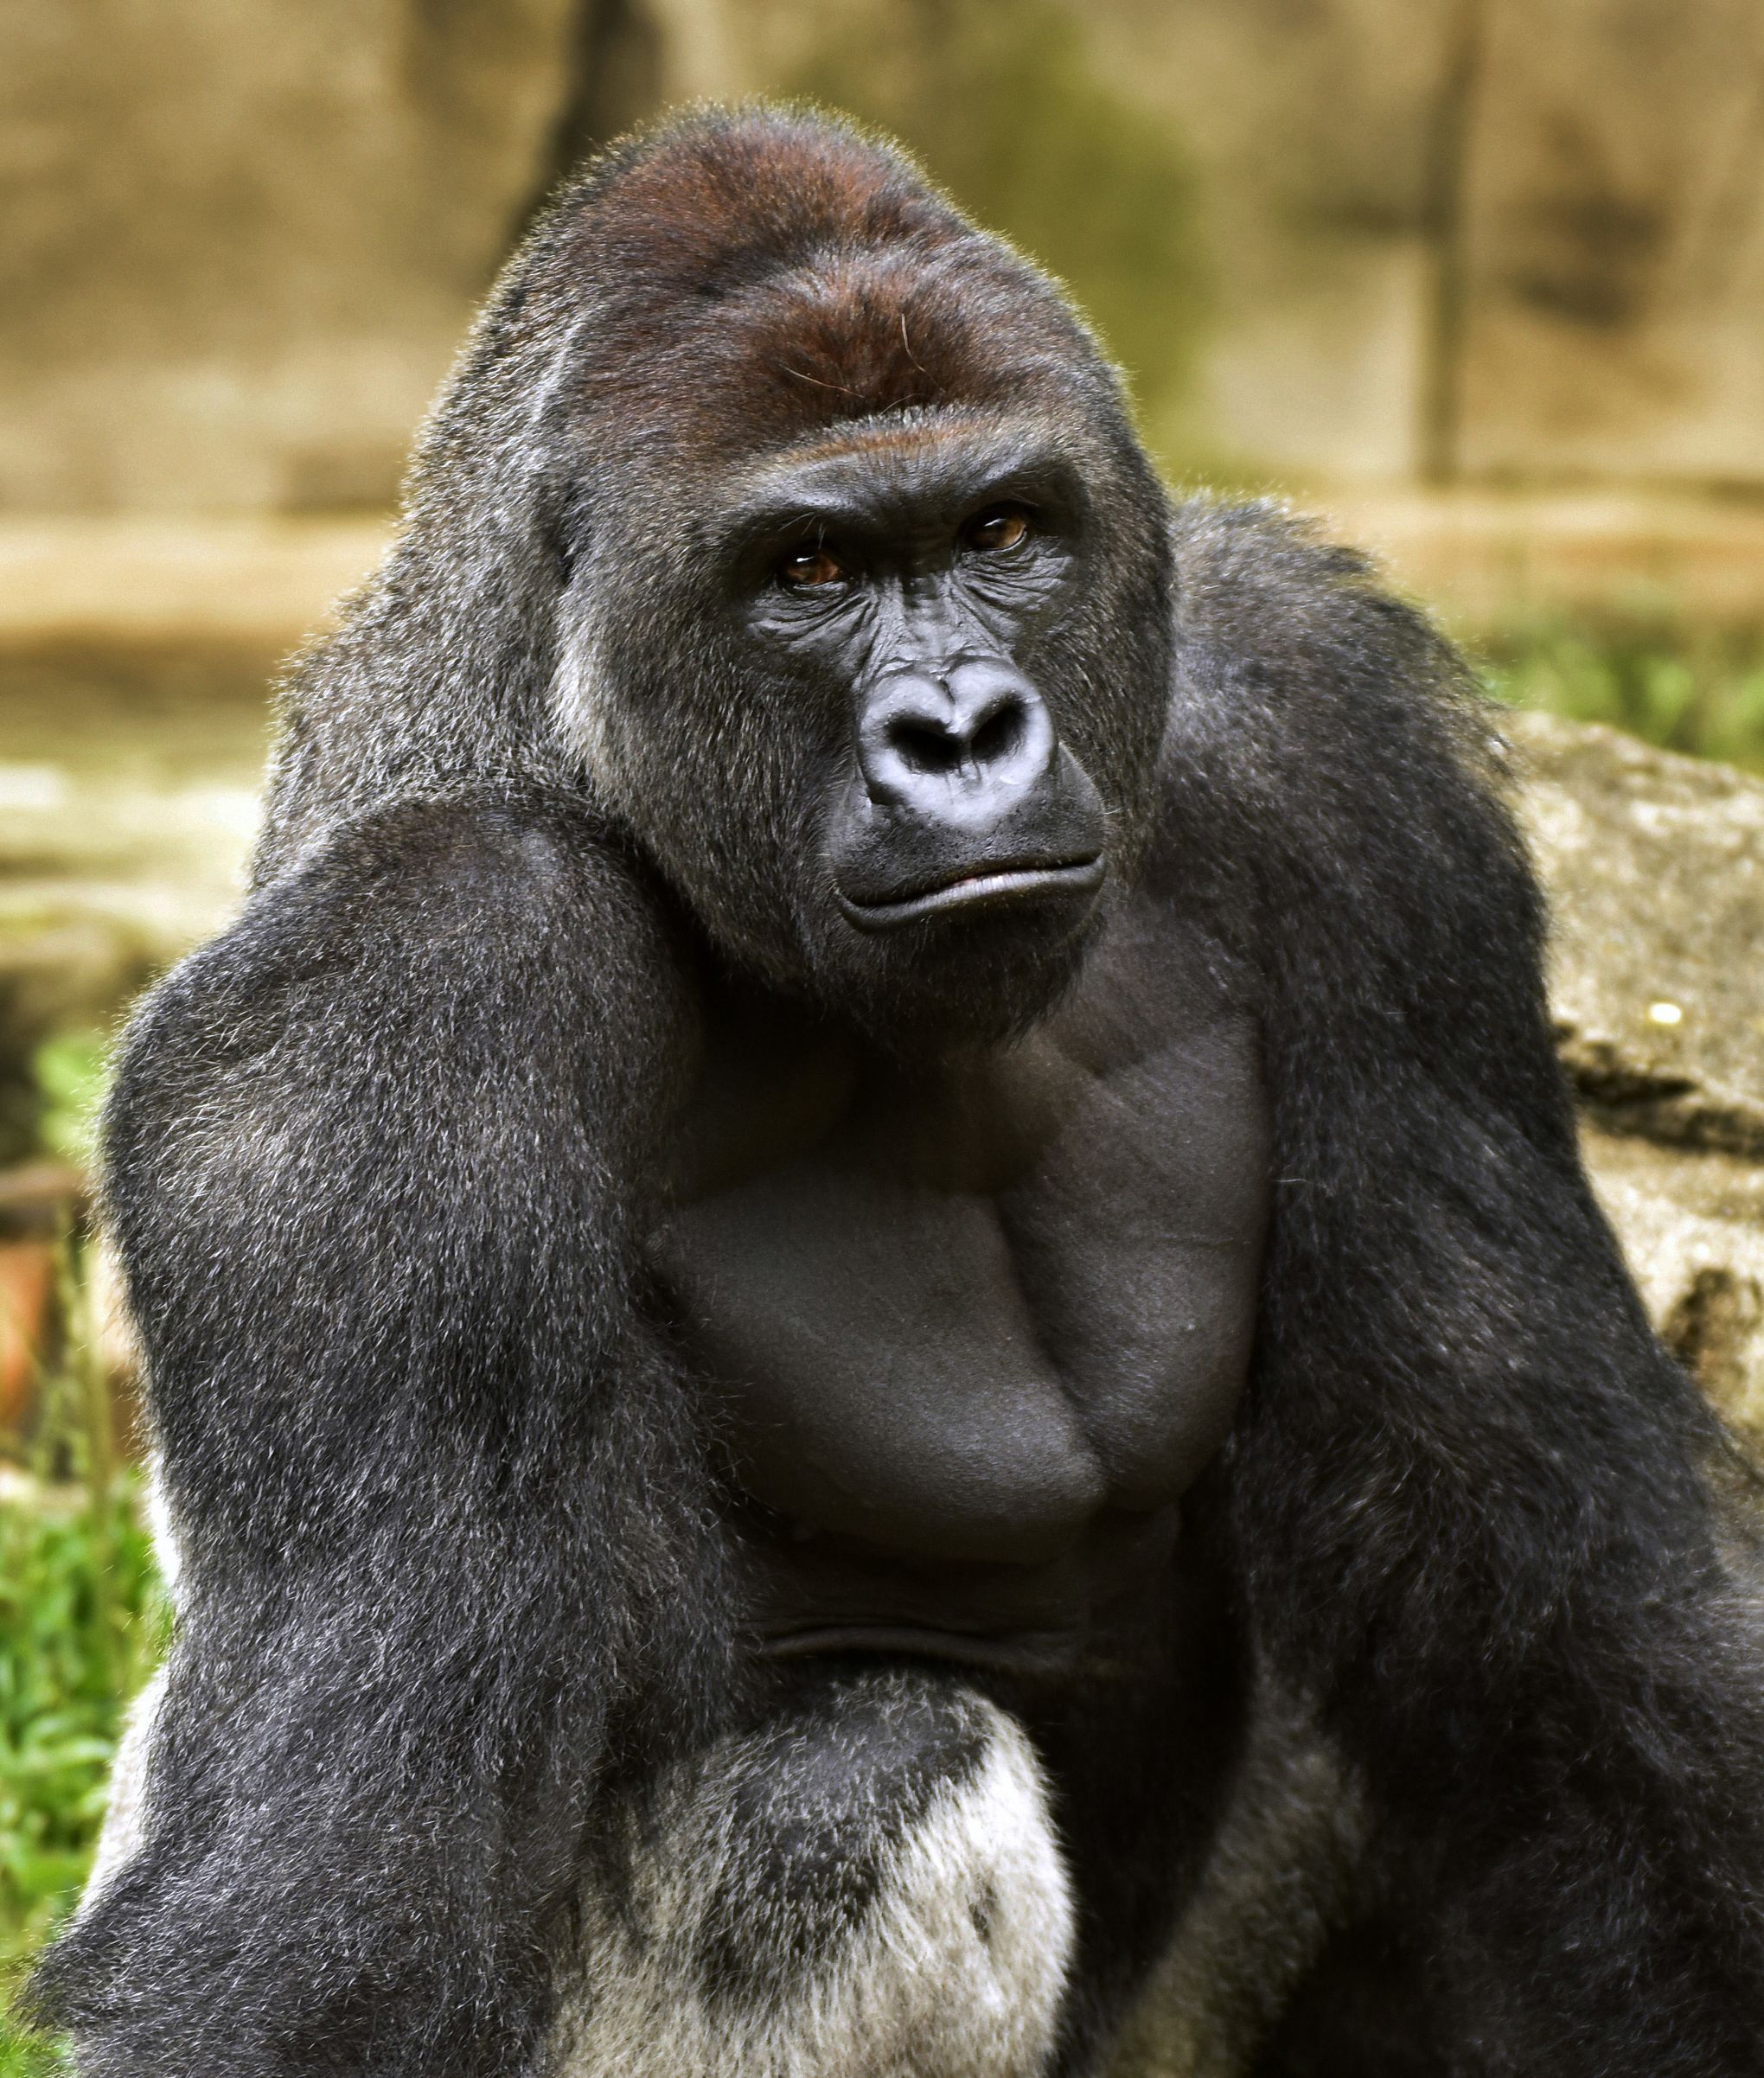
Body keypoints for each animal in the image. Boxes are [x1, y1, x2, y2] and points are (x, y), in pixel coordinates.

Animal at [30, 106, 1764, 2078]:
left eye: (1001, 529)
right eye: (812, 573)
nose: (959, 733)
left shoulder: (1334, 746)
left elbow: (1574, 1623)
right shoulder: (396, 997)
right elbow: (345, 1900)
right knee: (864, 1778)